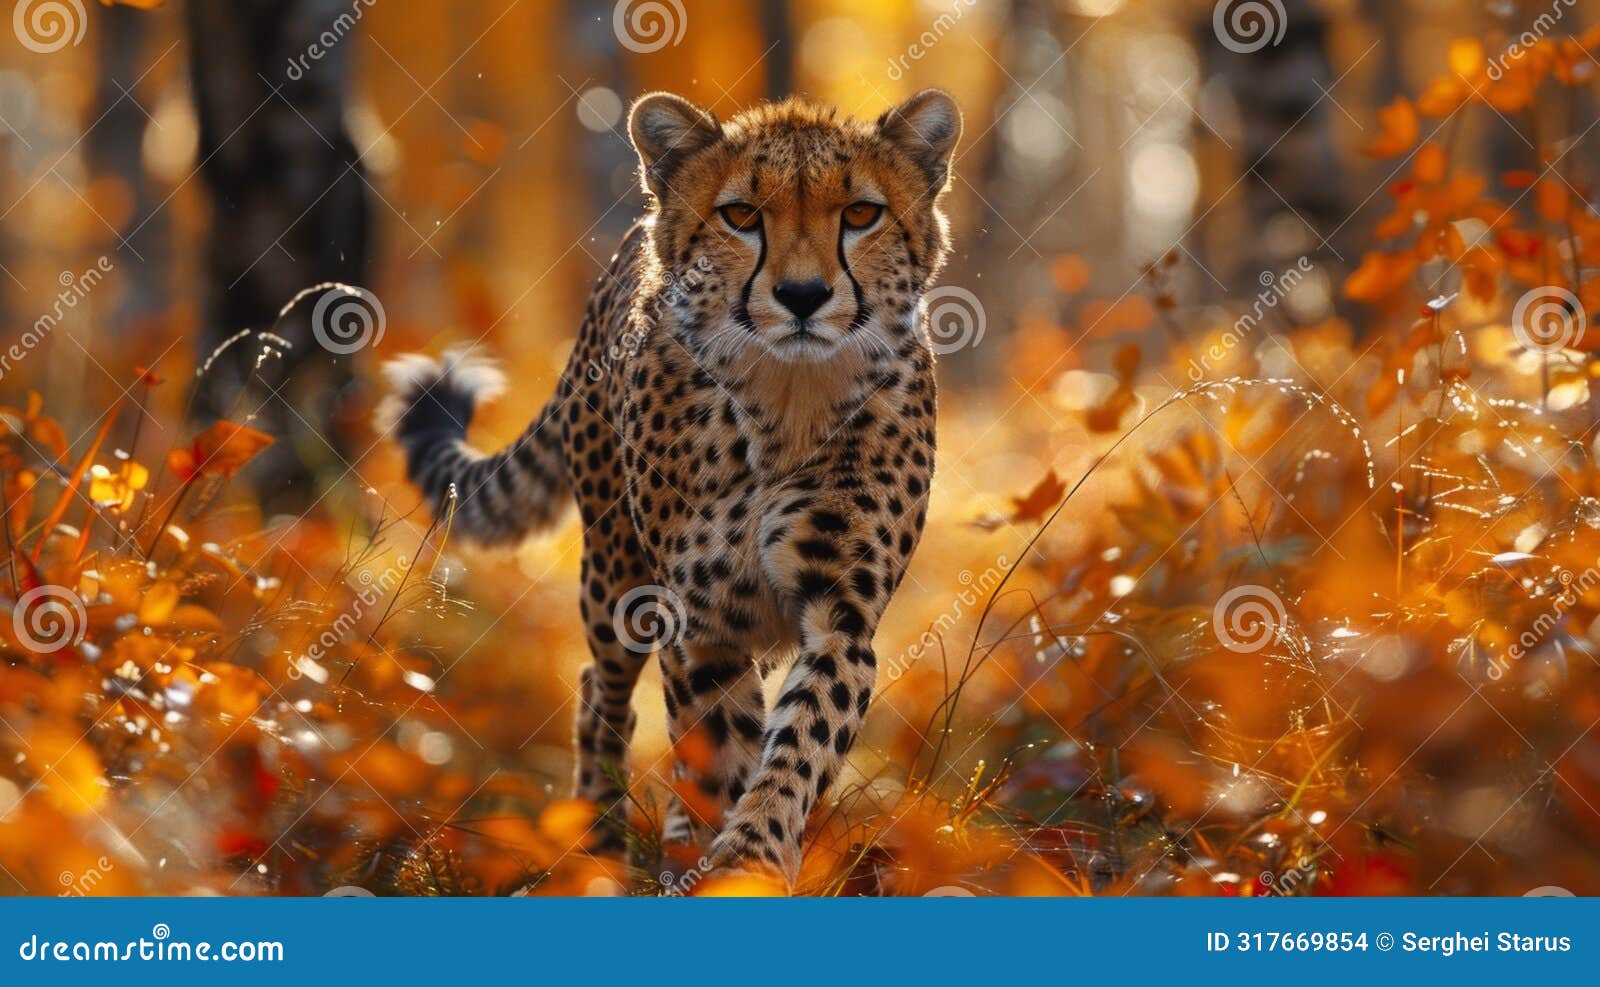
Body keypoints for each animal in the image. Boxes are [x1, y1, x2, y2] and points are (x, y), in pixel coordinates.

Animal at [377, 88, 960, 886]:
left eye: (862, 213)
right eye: (741, 215)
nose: (803, 295)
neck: (786, 399)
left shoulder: (842, 615)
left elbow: (799, 745)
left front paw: (749, 860)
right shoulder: (701, 620)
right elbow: (721, 751)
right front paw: (721, 868)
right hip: (615, 580)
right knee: (602, 696)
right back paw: (596, 852)